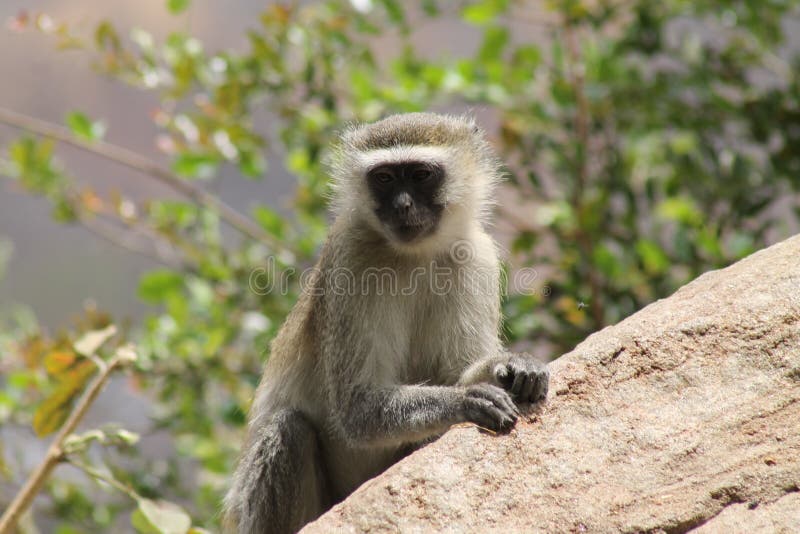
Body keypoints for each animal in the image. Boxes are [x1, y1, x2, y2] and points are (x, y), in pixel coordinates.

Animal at [224, 113, 550, 533]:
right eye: (384, 178)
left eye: (421, 174)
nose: (402, 206)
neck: (416, 255)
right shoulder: (351, 261)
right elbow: (358, 407)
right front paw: (466, 399)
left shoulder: (477, 258)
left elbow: (457, 368)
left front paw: (512, 366)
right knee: (288, 430)